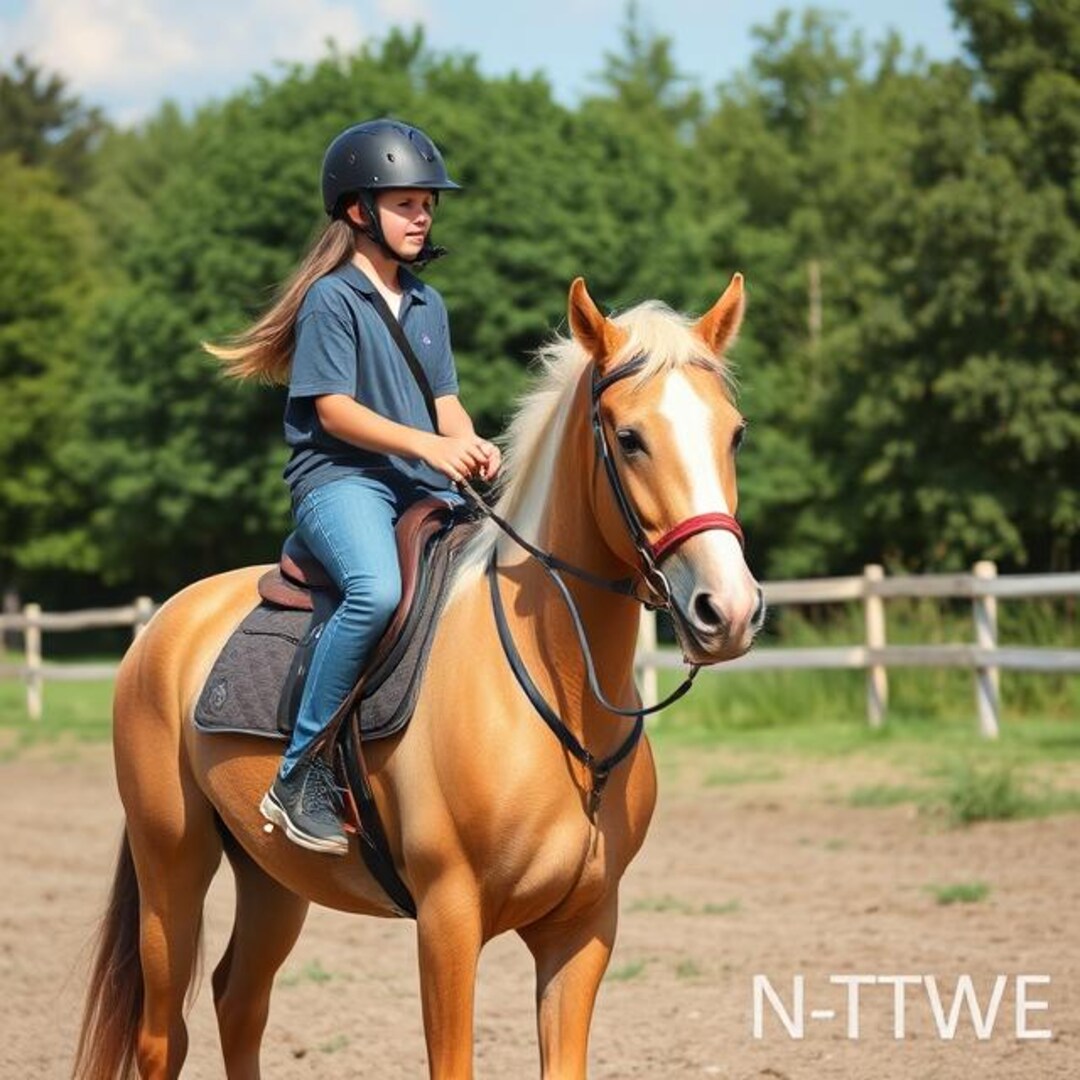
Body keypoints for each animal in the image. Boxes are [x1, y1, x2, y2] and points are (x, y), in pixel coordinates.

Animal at [74, 275, 763, 1079]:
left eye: (735, 434)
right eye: (629, 438)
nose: (729, 609)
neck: (554, 696)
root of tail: (163, 626)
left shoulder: (585, 928)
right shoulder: (448, 920)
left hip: (271, 879)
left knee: (238, 1003)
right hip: (171, 864)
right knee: (164, 1038)